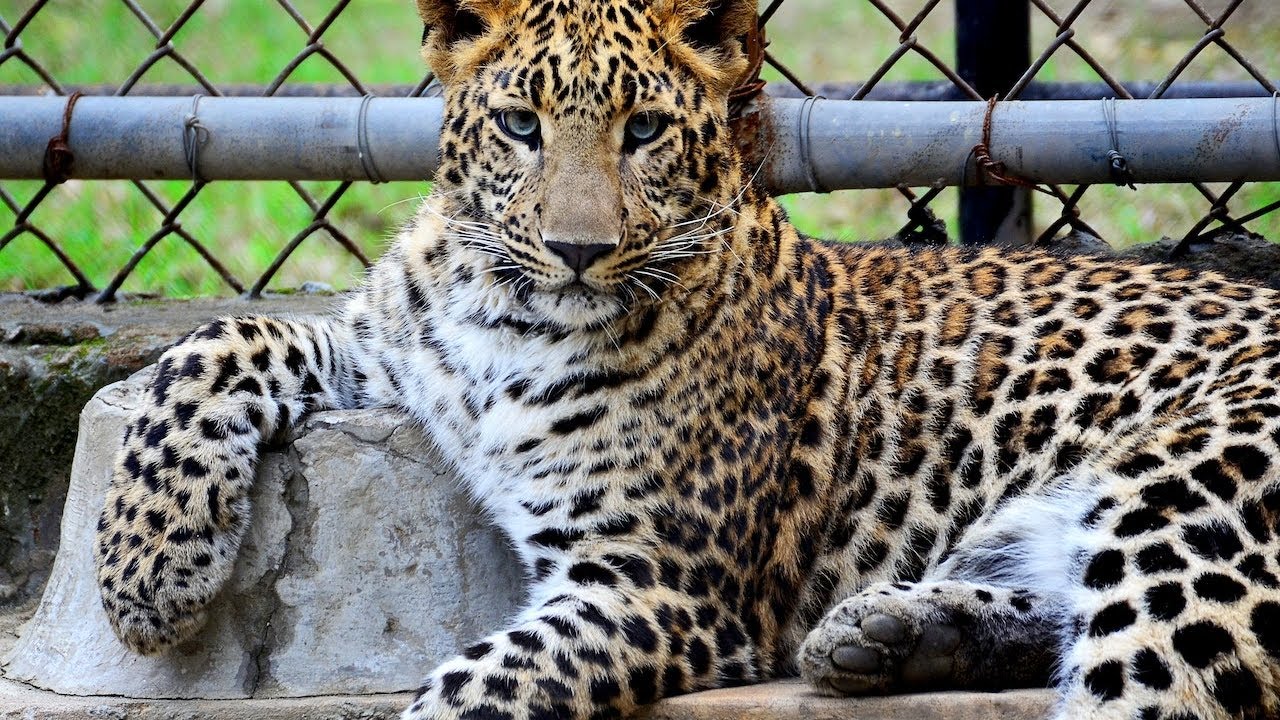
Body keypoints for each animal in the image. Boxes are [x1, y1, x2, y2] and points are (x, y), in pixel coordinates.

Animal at [91, 1, 1280, 719]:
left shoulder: (659, 585)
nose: (576, 249)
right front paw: (146, 572)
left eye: (645, 132)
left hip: (1187, 497)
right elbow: (216, 342)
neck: (509, 314)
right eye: (519, 126)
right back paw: (896, 633)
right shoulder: (394, 349)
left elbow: (472, 689)